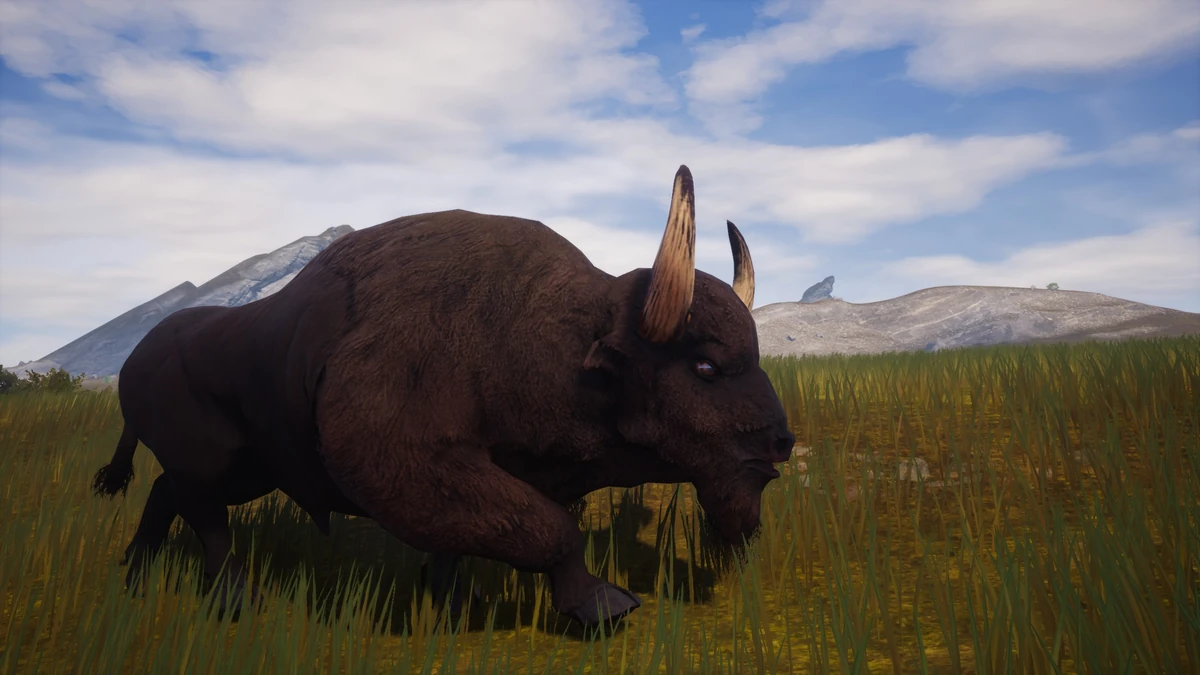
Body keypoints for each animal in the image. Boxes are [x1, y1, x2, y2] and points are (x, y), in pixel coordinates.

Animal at [91, 166, 795, 627]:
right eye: (705, 365)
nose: (780, 443)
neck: (563, 338)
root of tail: (133, 360)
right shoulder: (404, 455)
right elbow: (551, 529)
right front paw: (604, 606)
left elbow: (469, 541)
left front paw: (455, 604)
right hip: (217, 467)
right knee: (202, 515)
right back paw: (238, 602)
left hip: (253, 468)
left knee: (167, 495)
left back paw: (134, 573)